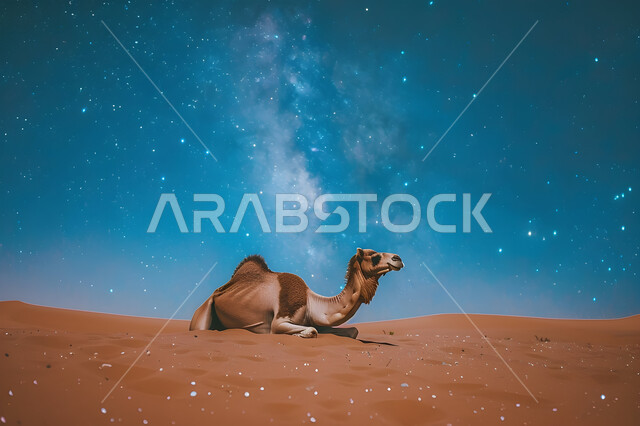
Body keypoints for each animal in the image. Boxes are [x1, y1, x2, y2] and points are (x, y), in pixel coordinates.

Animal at [189, 248, 404, 338]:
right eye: (374, 256)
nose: (398, 258)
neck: (311, 302)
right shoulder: (279, 321)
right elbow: (311, 330)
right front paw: (301, 335)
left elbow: (352, 331)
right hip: (203, 312)